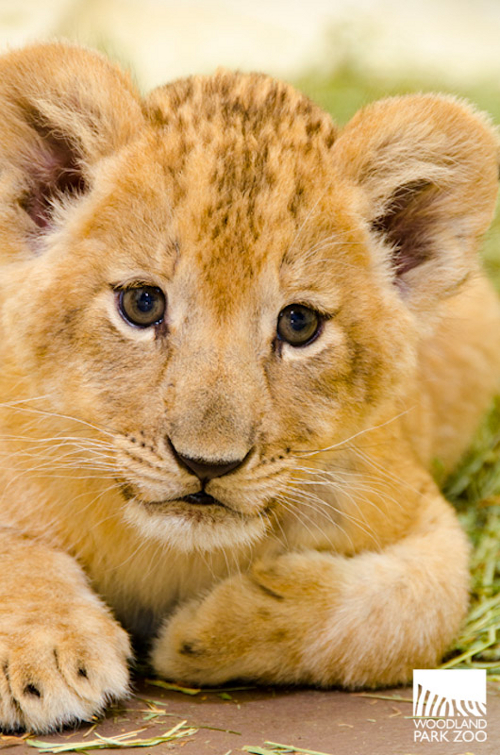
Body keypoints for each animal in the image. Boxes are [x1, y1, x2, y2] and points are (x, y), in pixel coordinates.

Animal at [0, 42, 499, 732]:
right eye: (142, 304)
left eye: (299, 324)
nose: (207, 464)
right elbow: (16, 552)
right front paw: (49, 650)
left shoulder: (427, 520)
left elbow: (404, 613)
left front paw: (203, 633)